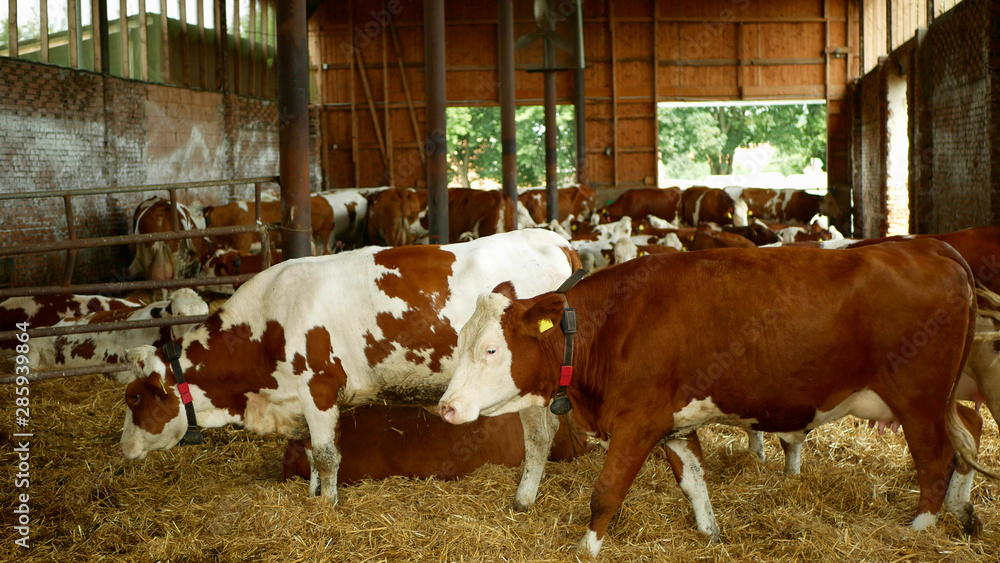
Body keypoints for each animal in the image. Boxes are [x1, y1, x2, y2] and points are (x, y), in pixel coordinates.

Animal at [117, 229, 581, 510]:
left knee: (540, 437)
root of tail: (552, 239)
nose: (123, 447)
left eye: (134, 397)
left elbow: (325, 455)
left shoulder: (318, 387)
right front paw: (314, 495)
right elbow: (312, 450)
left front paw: (326, 506)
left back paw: (523, 499)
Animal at [438, 239, 996, 556]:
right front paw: (710, 534)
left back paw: (919, 529)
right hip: (941, 398)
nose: (445, 406)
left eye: (491, 349)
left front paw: (586, 547)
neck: (614, 325)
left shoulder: (636, 423)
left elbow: (607, 491)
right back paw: (962, 513)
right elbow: (693, 482)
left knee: (936, 458)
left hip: (918, 398)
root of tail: (931, 249)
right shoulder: (673, 425)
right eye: (462, 340)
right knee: (967, 436)